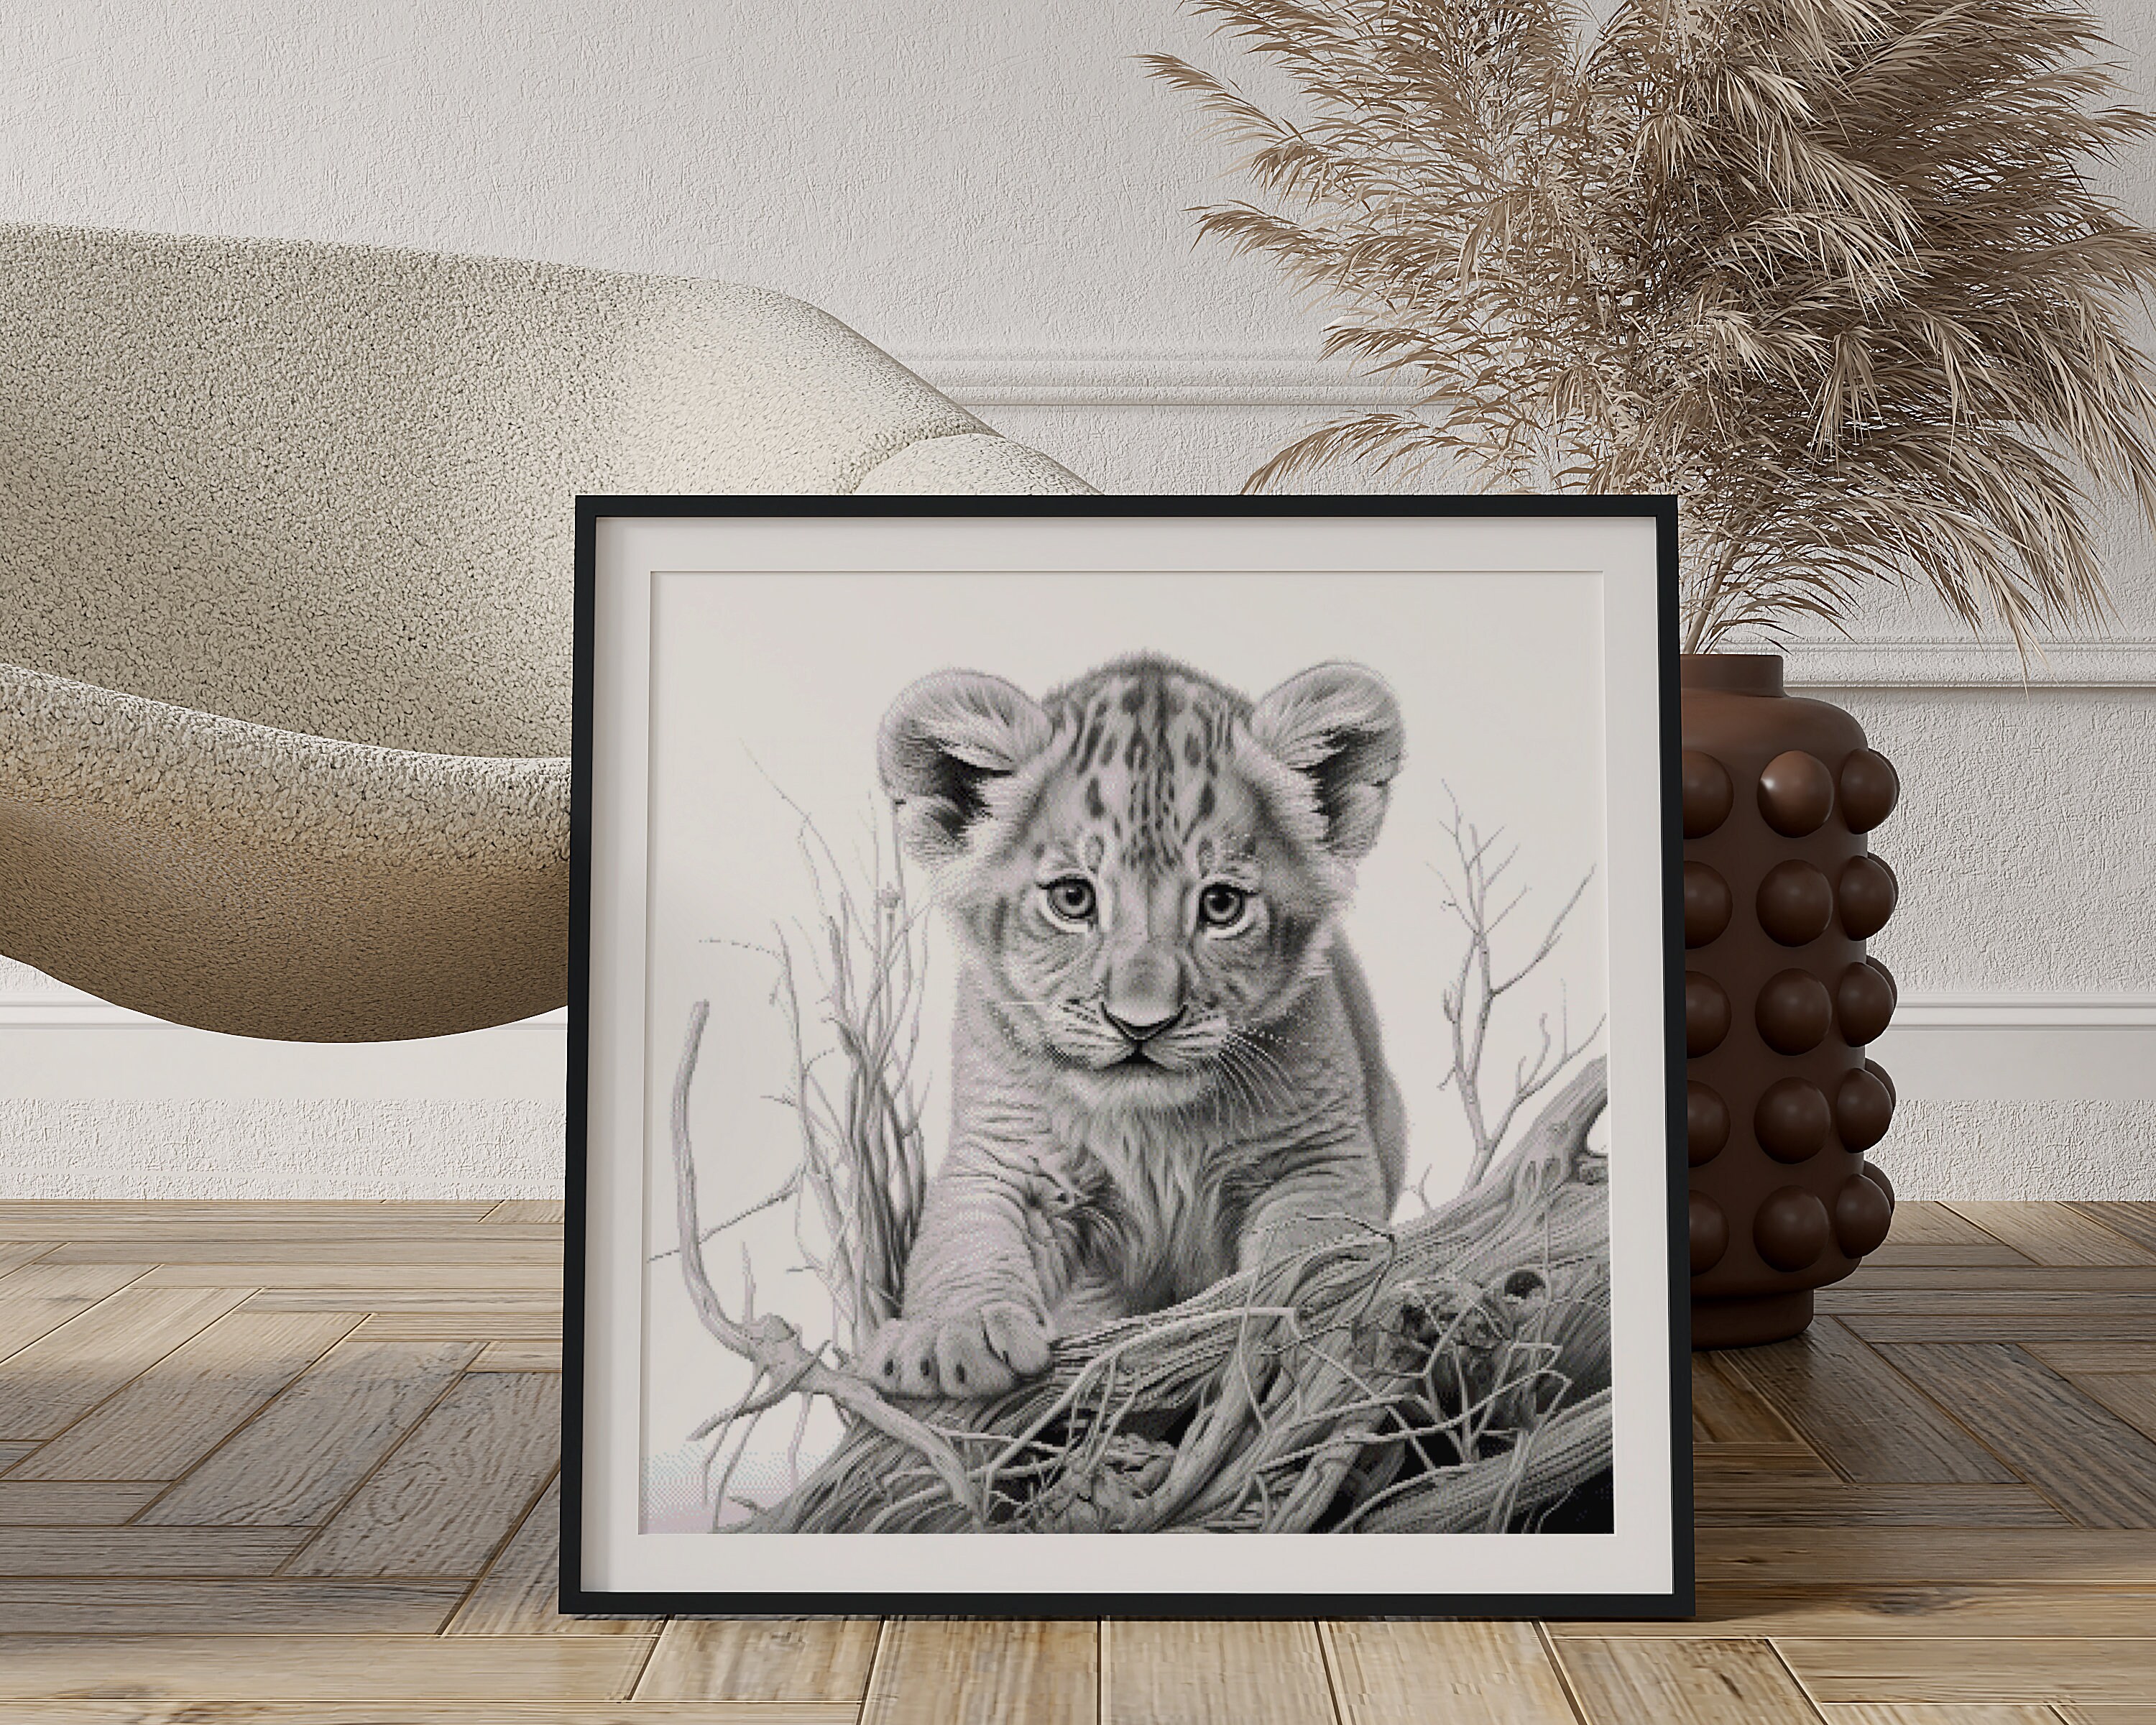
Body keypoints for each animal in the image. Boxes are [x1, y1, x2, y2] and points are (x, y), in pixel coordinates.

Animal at [860, 653, 1407, 1399]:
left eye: (1222, 904)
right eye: (1072, 898)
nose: (1140, 1025)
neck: (1152, 1131)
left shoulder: (1314, 1156)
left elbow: (1310, 1249)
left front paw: (1289, 1321)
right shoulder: (1007, 1153)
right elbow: (966, 1236)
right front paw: (949, 1336)